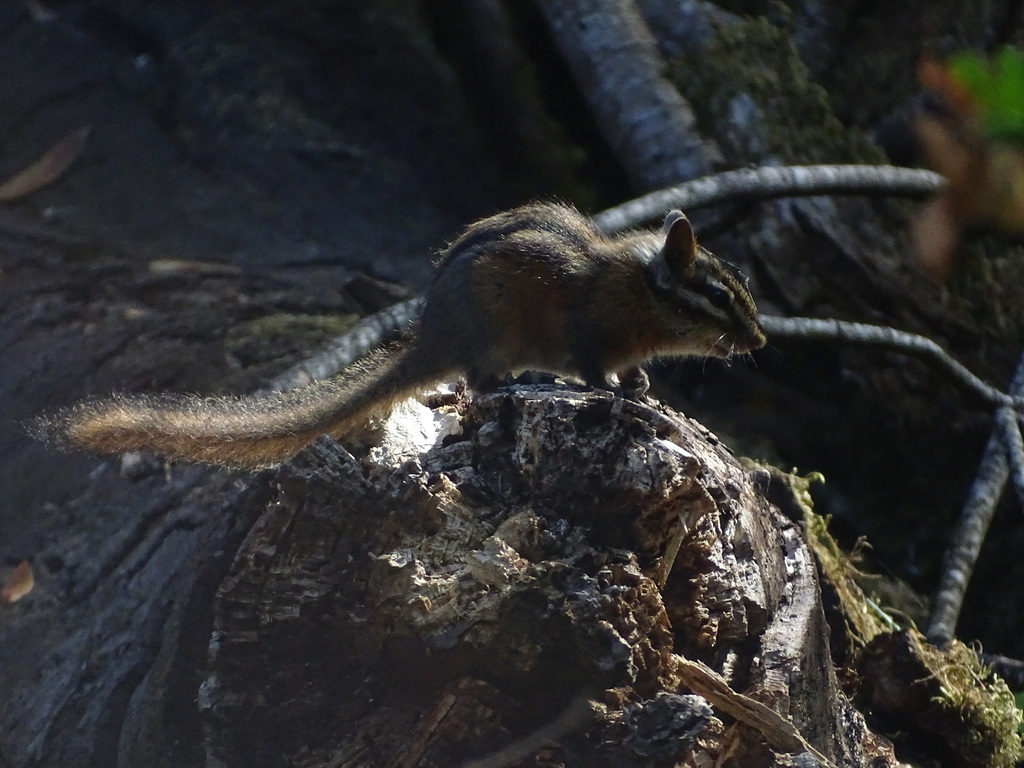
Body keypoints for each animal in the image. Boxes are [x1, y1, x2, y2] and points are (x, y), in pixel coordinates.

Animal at [36, 202, 766, 469]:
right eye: (717, 296)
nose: (759, 344)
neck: (642, 292)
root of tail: (431, 338)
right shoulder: (591, 335)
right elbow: (594, 372)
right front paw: (623, 393)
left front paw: (641, 383)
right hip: (492, 338)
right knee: (475, 380)